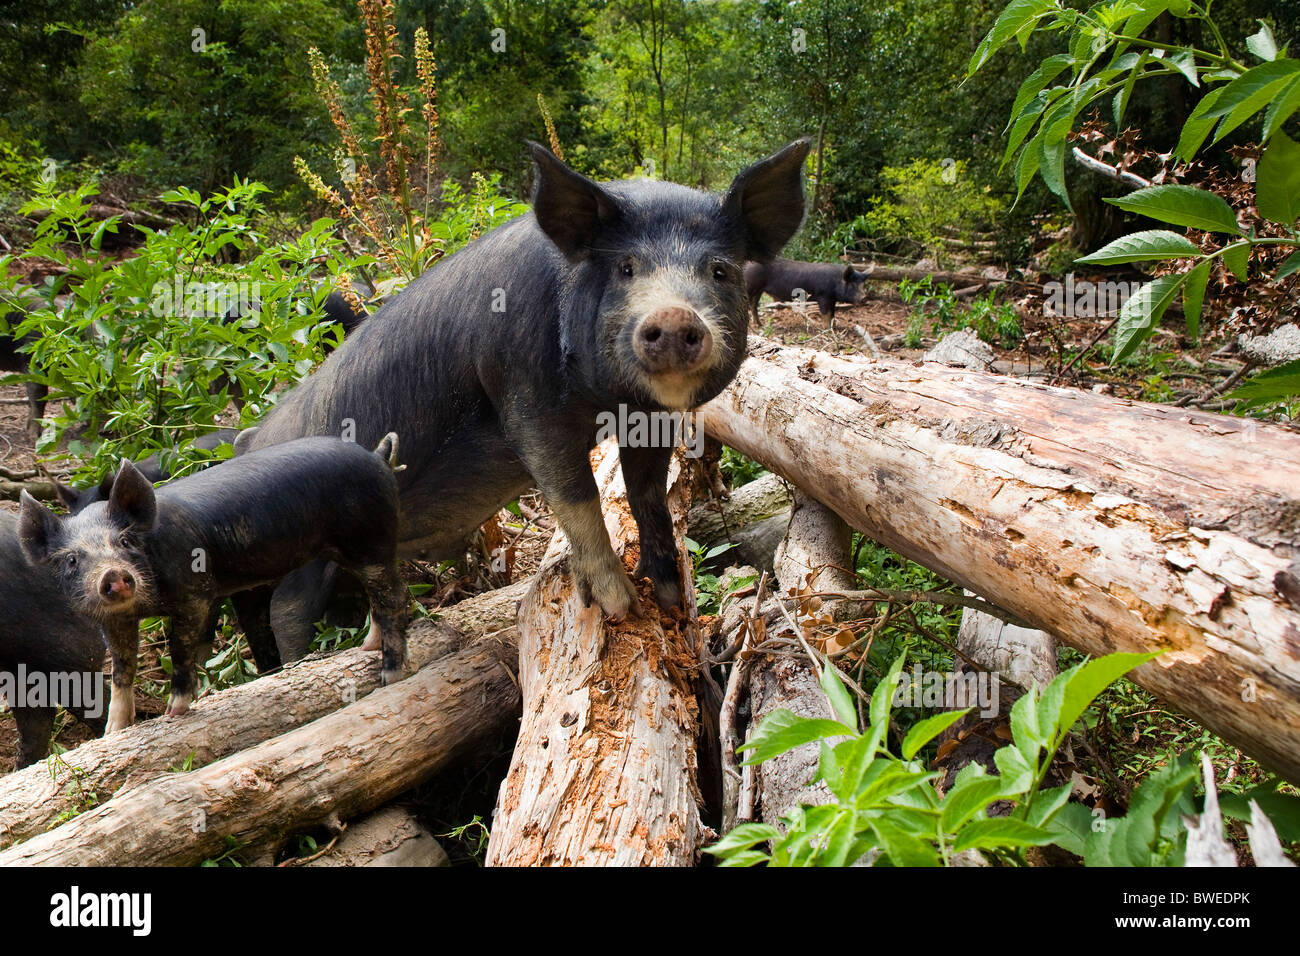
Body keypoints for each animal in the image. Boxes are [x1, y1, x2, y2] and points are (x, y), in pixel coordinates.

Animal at [19, 434, 411, 732]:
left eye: (126, 541)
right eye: (72, 560)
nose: (114, 574)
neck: (146, 604)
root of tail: (376, 456)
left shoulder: (196, 593)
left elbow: (180, 648)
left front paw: (173, 713)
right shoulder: (113, 619)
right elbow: (121, 669)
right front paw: (113, 733)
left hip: (373, 537)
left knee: (395, 595)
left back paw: (390, 676)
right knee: (377, 595)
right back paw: (367, 648)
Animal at [240, 139, 811, 661]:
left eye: (719, 270)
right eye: (625, 268)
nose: (673, 315)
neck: (608, 404)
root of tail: (246, 444)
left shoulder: (649, 420)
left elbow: (647, 496)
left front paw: (672, 601)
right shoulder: (525, 399)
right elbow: (576, 495)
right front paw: (621, 607)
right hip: (299, 554)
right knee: (285, 610)